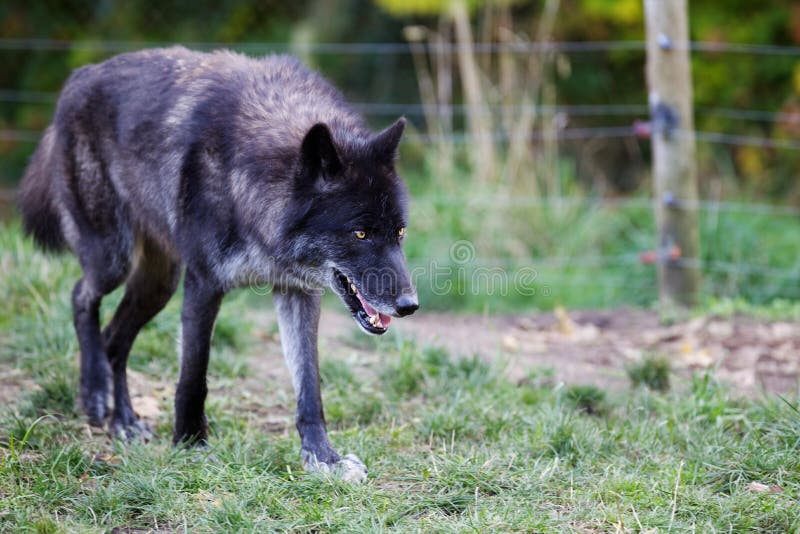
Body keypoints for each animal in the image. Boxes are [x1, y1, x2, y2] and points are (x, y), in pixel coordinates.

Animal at [17, 47, 418, 481]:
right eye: (360, 234)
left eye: (399, 232)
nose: (409, 306)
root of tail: (80, 77)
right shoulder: (204, 283)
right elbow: (194, 374)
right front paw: (190, 443)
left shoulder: (298, 291)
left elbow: (309, 386)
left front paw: (323, 457)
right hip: (114, 258)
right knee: (81, 296)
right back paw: (94, 392)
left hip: (159, 284)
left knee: (114, 337)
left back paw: (122, 420)